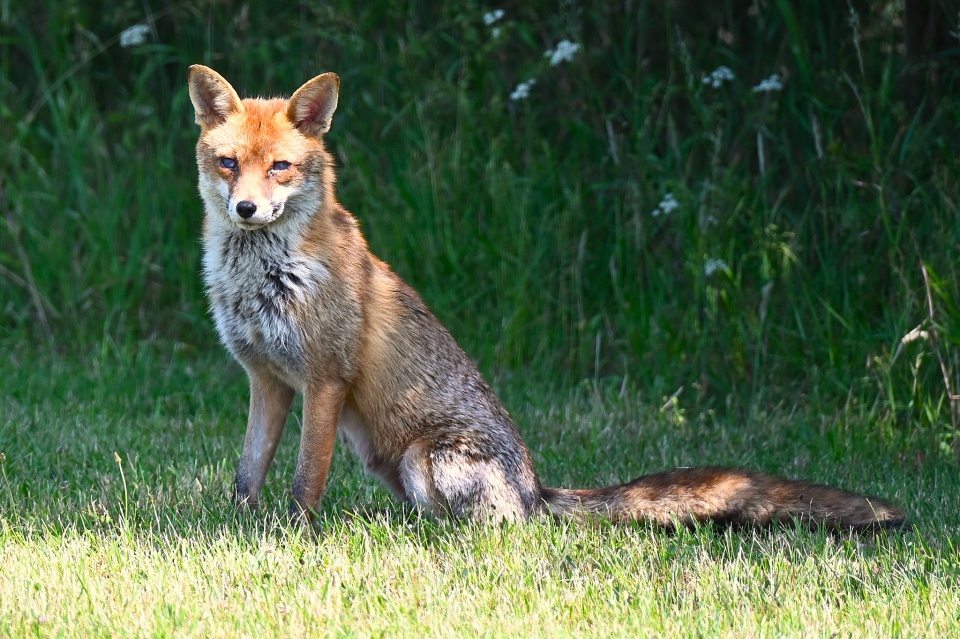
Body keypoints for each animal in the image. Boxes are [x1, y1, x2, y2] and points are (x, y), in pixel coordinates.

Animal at [187, 64, 905, 530]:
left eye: (280, 167)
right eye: (229, 163)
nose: (247, 209)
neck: (264, 276)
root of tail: (536, 488)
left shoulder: (326, 379)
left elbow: (305, 478)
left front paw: (294, 536)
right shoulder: (268, 380)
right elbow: (248, 473)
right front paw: (241, 525)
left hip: (424, 458)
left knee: (482, 528)